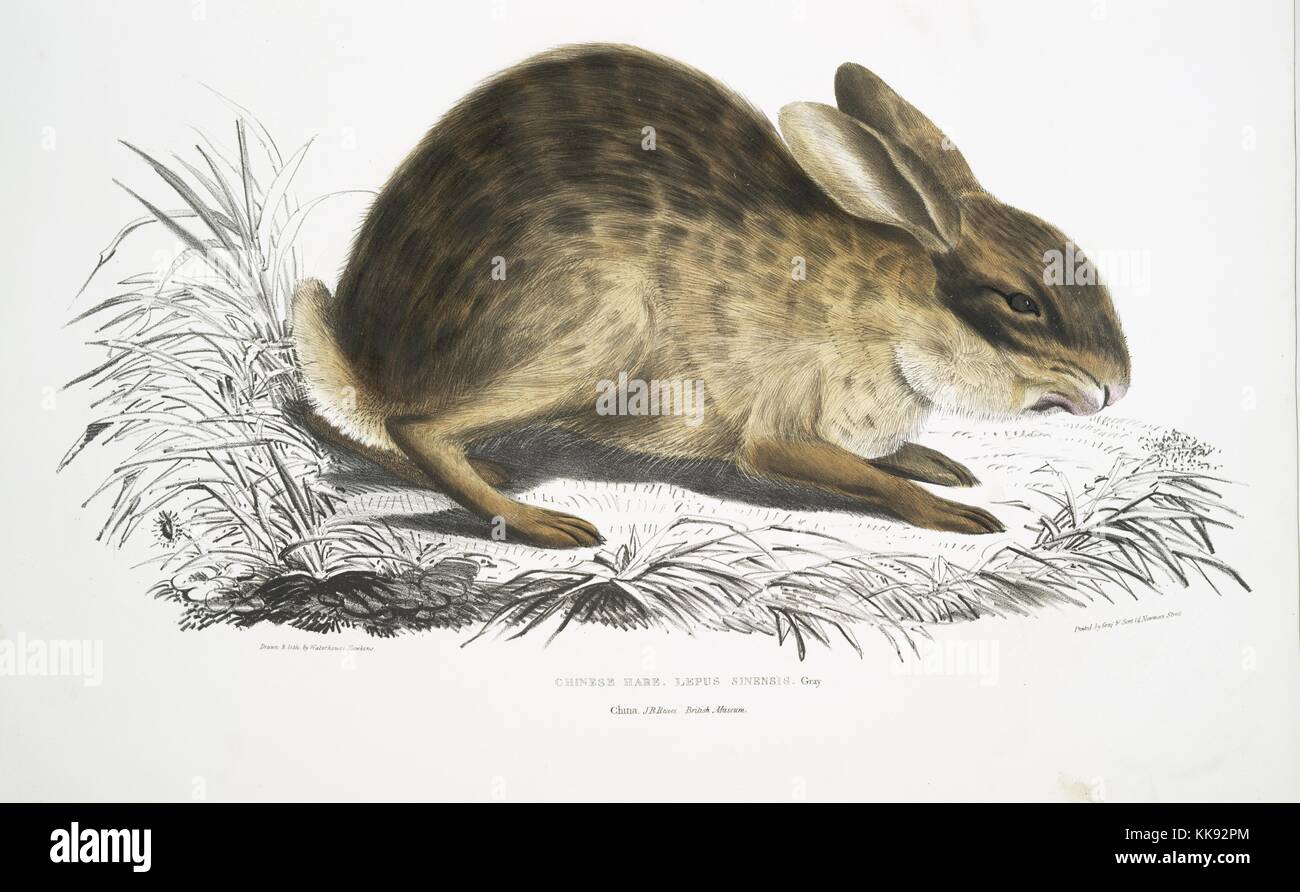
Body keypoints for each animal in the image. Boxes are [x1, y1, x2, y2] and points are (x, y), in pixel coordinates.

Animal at [293, 43, 1130, 548]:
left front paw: (937, 463)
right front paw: (950, 509)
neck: (893, 308)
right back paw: (537, 521)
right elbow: (858, 474)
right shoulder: (778, 428)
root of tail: (368, 360)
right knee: (416, 427)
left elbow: (887, 457)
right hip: (601, 329)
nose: (1117, 387)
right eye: (1020, 302)